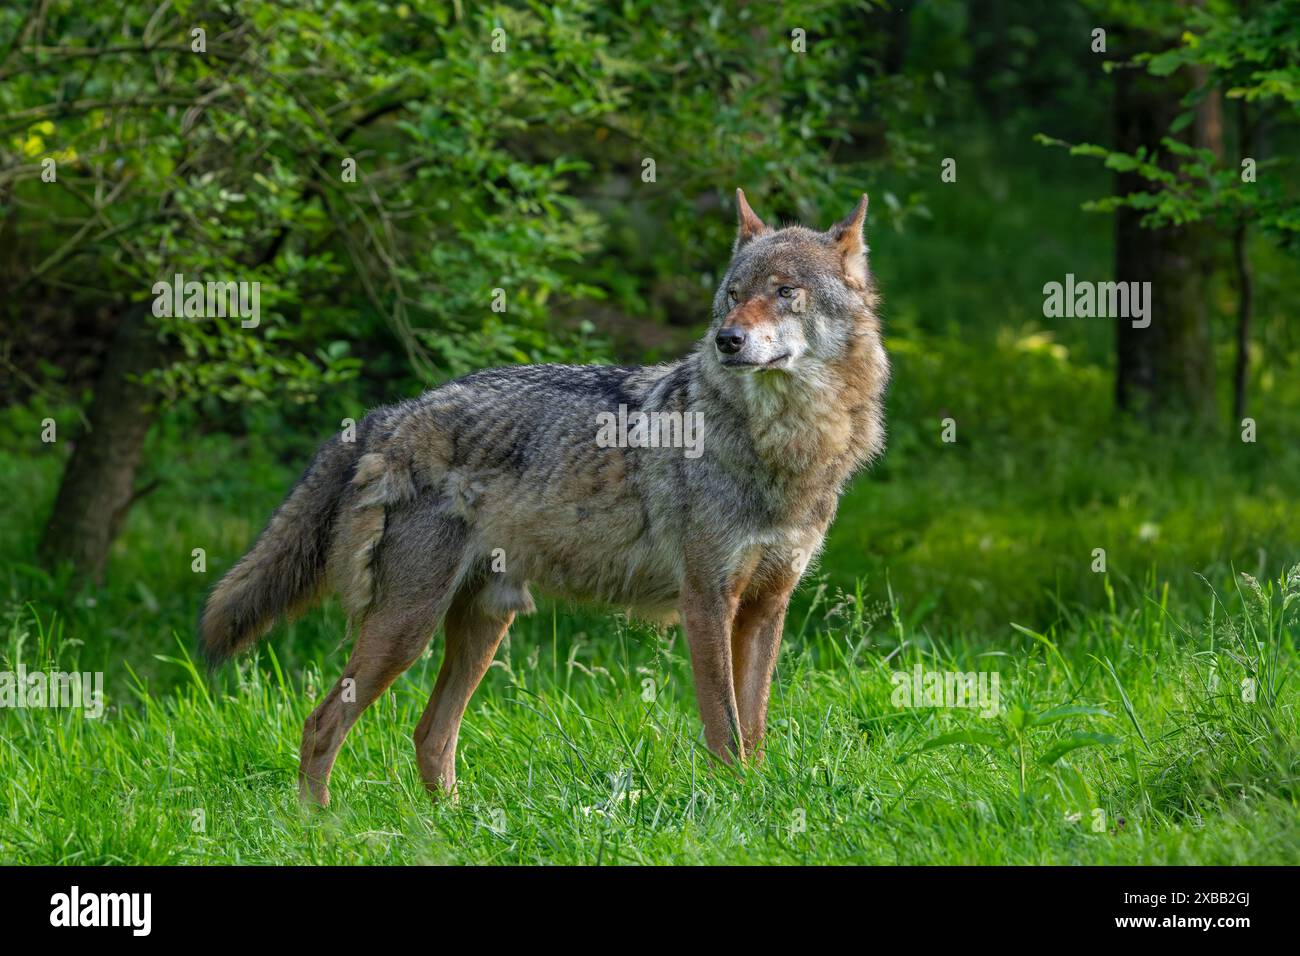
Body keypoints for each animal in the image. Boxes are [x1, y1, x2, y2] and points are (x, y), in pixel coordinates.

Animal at [199, 190, 889, 805]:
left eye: (785, 291)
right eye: (732, 296)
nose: (726, 339)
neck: (786, 447)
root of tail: (391, 412)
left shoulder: (767, 606)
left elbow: (755, 728)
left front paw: (756, 794)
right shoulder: (707, 602)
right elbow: (725, 727)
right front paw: (732, 802)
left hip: (482, 626)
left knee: (429, 733)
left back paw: (454, 825)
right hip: (406, 630)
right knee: (323, 724)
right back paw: (319, 827)